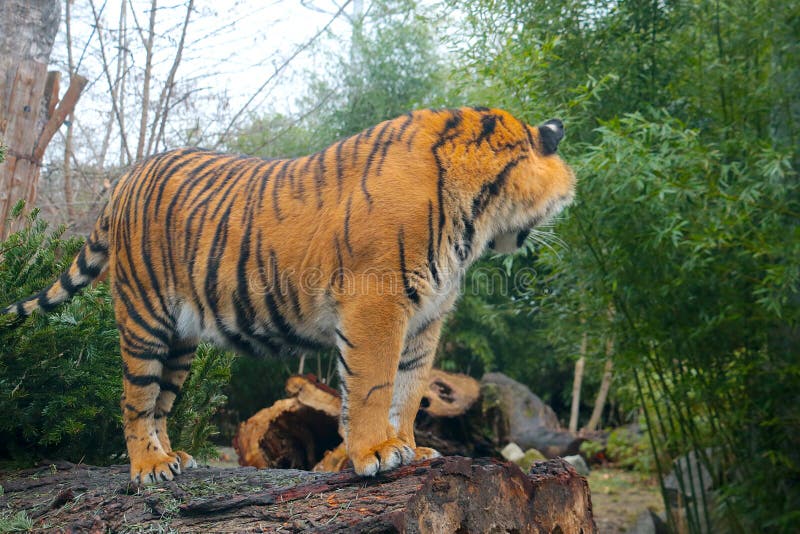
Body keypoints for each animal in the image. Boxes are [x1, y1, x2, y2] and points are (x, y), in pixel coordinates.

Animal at [3, 107, 575, 483]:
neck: (477, 217)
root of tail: (126, 177)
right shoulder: (376, 305)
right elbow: (373, 386)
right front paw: (377, 452)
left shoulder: (427, 319)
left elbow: (410, 391)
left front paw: (411, 449)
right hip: (145, 316)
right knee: (136, 399)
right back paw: (148, 468)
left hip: (182, 339)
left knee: (161, 401)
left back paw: (173, 458)